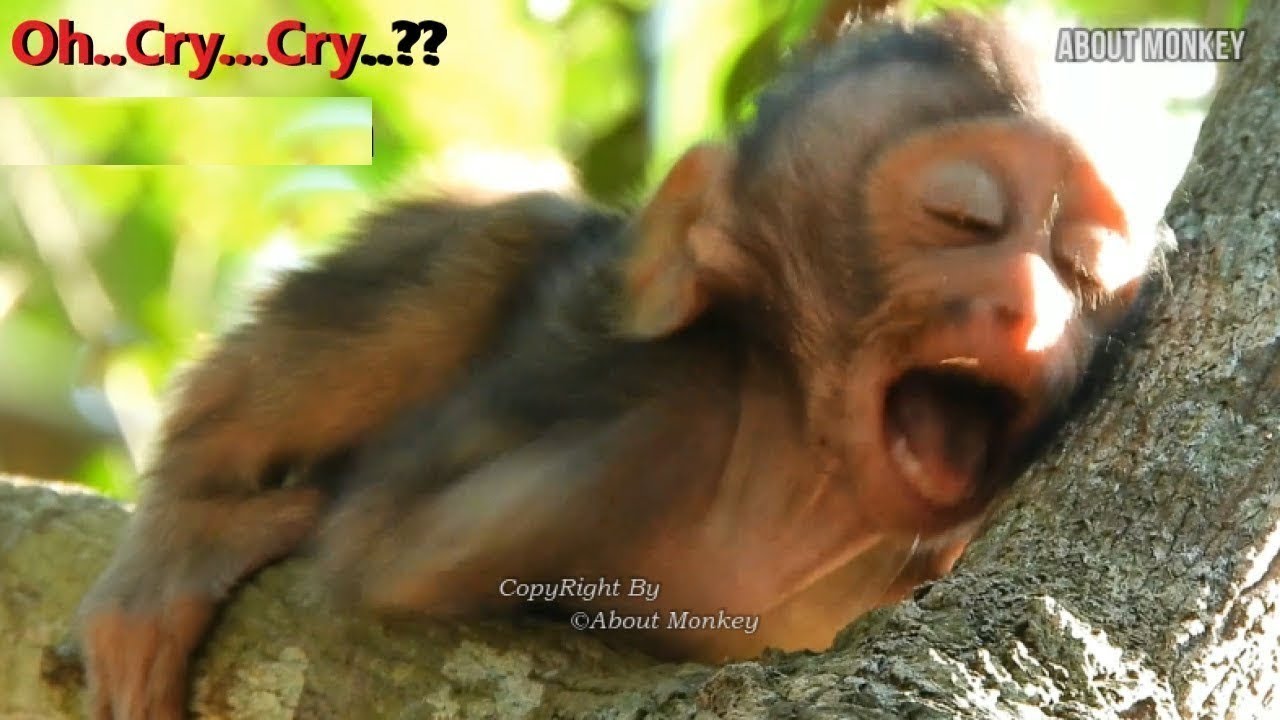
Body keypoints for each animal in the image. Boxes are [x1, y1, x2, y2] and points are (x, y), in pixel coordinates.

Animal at [77, 11, 1163, 719]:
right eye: (960, 217)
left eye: (1080, 266)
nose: (1026, 305)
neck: (796, 494)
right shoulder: (652, 402)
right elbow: (378, 550)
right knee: (506, 236)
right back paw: (186, 521)